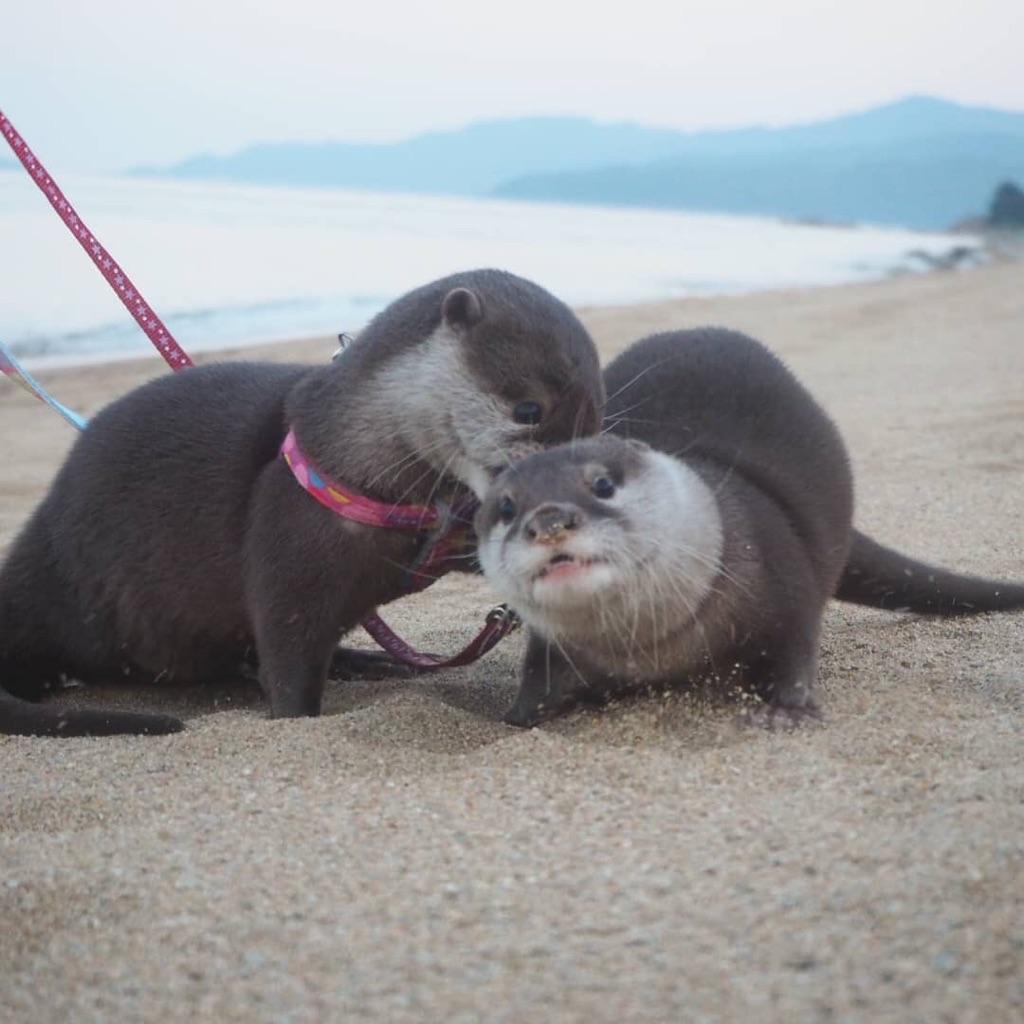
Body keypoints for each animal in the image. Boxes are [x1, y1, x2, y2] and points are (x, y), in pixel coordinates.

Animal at [0, 269, 603, 737]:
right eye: (528, 409)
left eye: (595, 423)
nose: (559, 493)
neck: (347, 461)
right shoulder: (287, 548)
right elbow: (288, 653)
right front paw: (295, 715)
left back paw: (363, 661)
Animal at [476, 328, 1024, 727]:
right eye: (506, 508)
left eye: (603, 483)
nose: (549, 519)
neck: (651, 651)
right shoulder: (556, 646)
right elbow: (538, 680)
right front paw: (515, 718)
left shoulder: (781, 576)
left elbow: (795, 646)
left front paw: (787, 709)